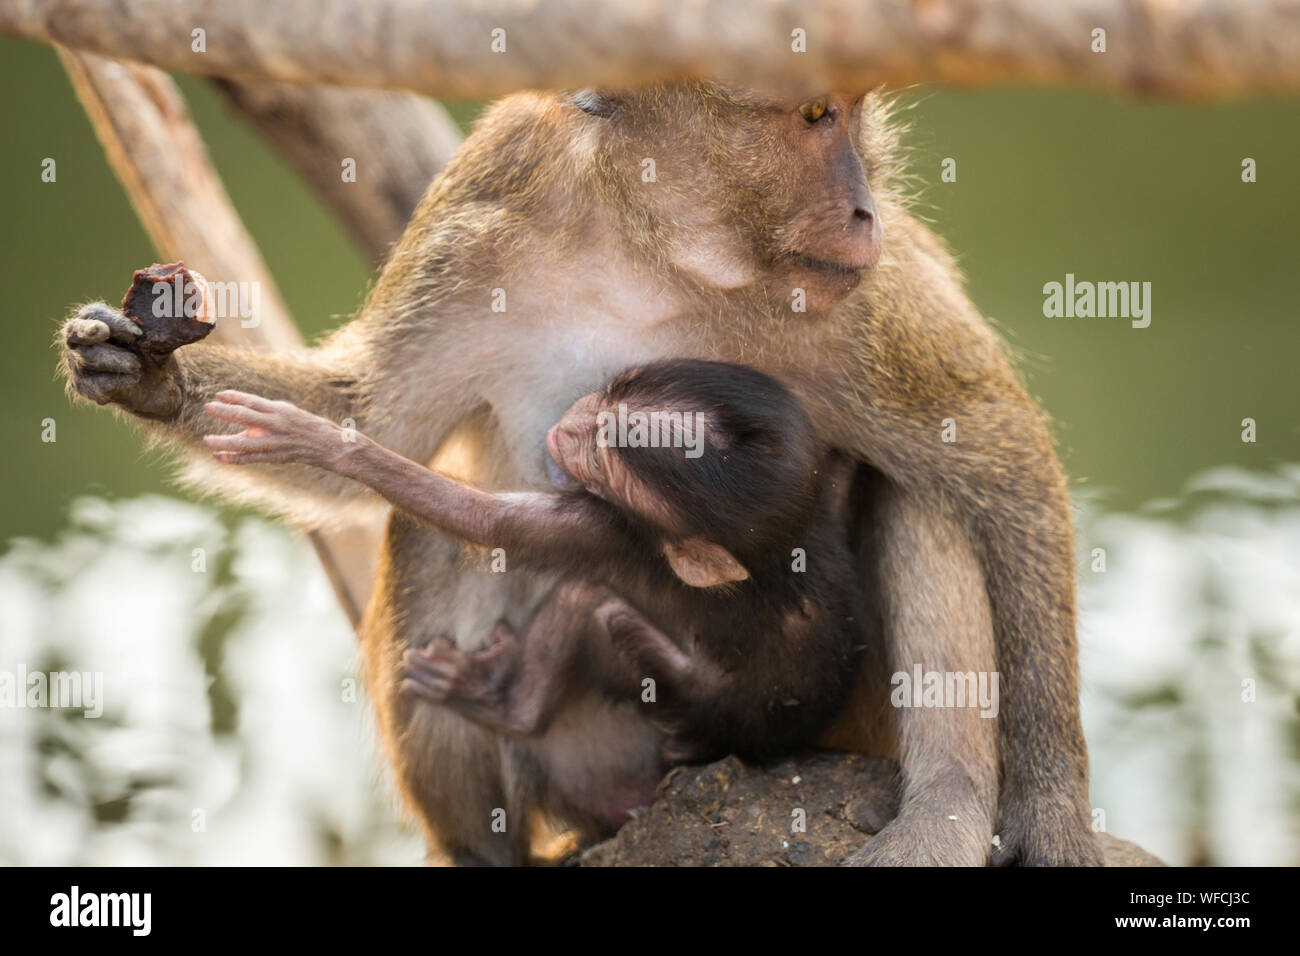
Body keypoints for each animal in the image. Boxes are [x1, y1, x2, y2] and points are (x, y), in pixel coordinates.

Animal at [199, 359, 868, 828]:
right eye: (611, 398)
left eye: (603, 456)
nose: (571, 424)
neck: (774, 554)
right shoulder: (822, 521)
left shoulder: (618, 533)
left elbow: (488, 524)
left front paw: (322, 443)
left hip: (679, 699)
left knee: (588, 607)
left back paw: (505, 705)